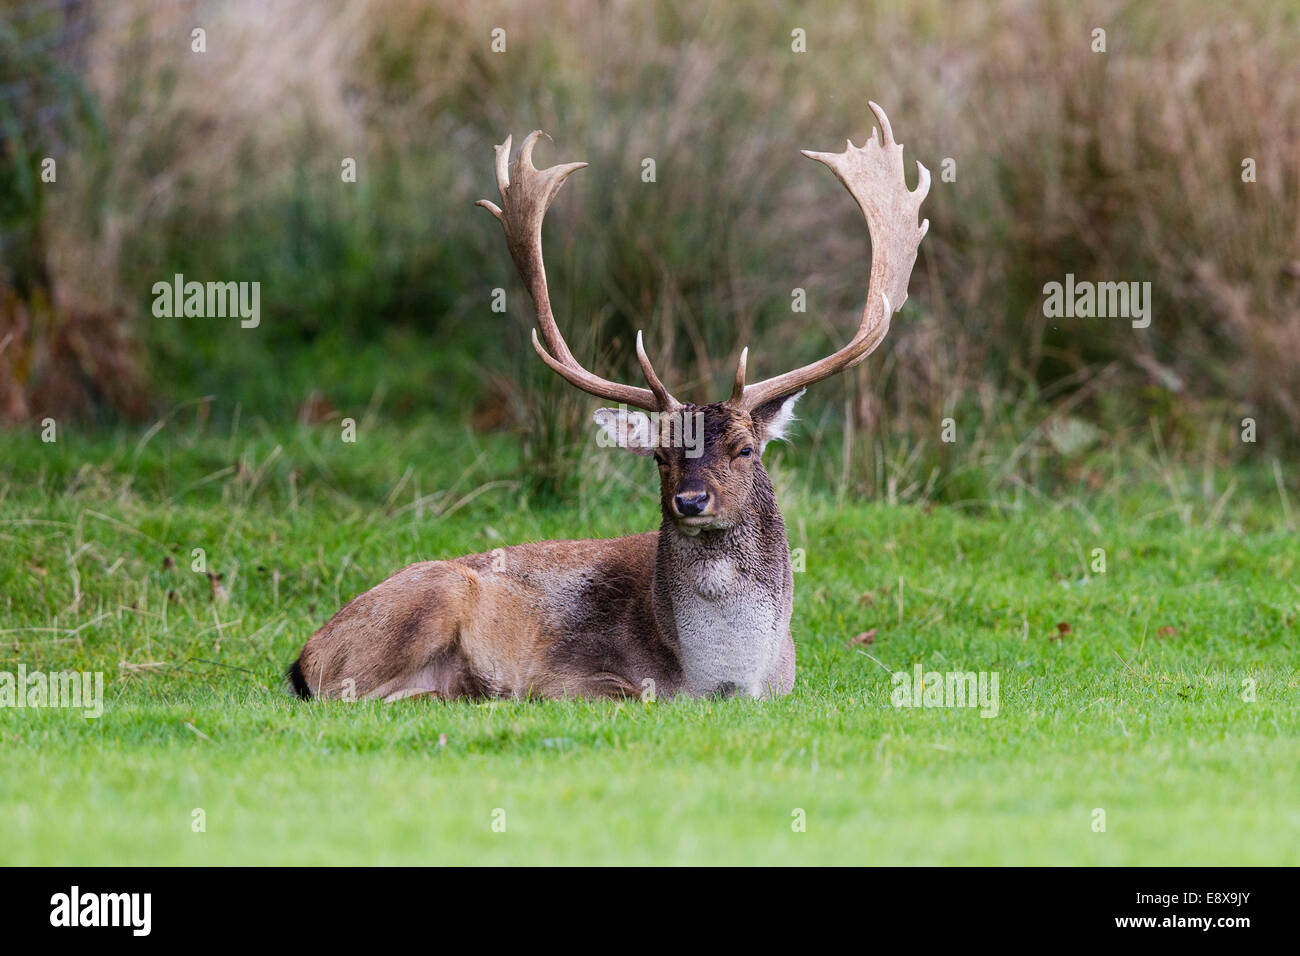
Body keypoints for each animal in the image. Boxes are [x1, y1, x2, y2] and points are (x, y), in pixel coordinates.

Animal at [288, 102, 929, 702]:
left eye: (746, 449)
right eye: (660, 456)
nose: (690, 501)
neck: (723, 680)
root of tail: (303, 658)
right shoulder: (582, 680)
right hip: (432, 597)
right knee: (352, 695)